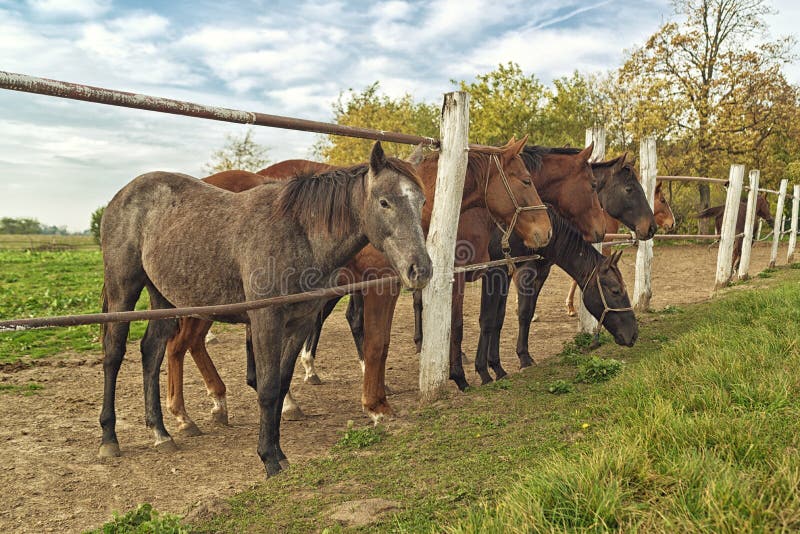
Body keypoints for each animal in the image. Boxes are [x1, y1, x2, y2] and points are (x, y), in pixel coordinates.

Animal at [98, 141, 432, 477]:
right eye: (384, 202)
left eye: (421, 200)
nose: (420, 269)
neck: (299, 234)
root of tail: (123, 193)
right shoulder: (265, 319)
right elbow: (268, 387)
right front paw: (268, 459)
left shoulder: (300, 322)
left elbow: (282, 383)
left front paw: (279, 452)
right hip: (124, 290)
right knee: (115, 353)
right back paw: (109, 437)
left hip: (164, 298)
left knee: (152, 350)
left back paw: (161, 432)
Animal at [474, 209, 638, 384]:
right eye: (615, 290)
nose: (634, 334)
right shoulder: (497, 271)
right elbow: (488, 318)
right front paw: (484, 371)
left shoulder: (518, 272)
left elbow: (508, 316)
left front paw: (503, 365)